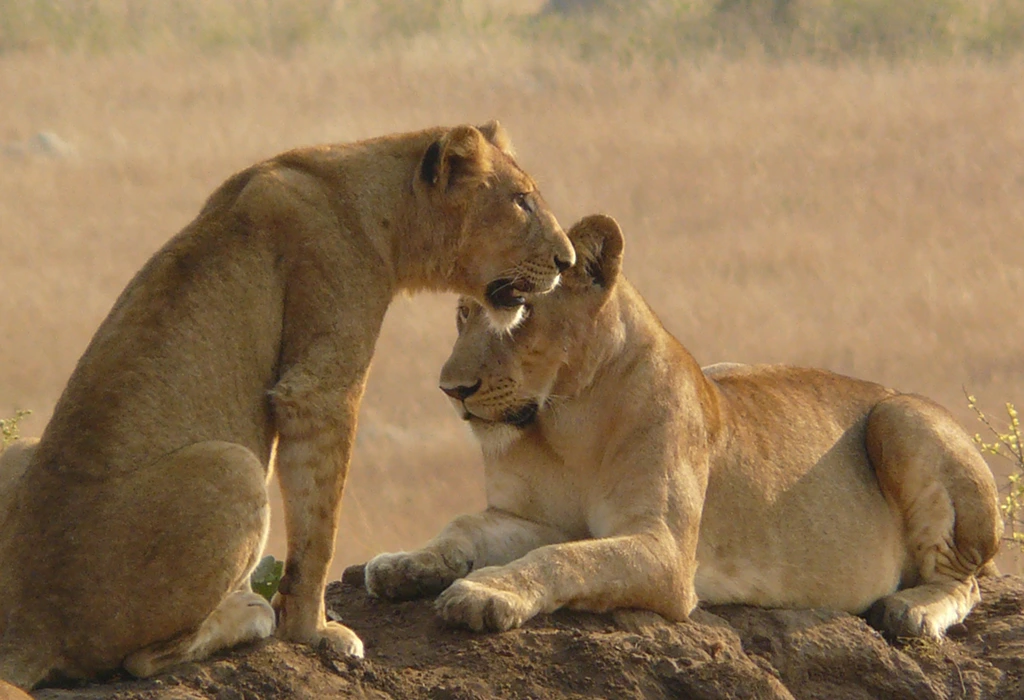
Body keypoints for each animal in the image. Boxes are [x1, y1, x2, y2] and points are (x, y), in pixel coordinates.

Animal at [0, 122, 575, 689]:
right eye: (521, 201)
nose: (567, 261)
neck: (380, 205)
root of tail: (28, 624)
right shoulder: (320, 383)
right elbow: (319, 523)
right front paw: (313, 630)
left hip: (24, 446)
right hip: (232, 465)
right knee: (140, 659)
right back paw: (250, 613)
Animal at [364, 214, 1002, 640]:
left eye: (517, 312)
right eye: (462, 312)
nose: (451, 389)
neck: (562, 425)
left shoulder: (665, 550)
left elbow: (564, 559)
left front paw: (485, 592)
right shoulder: (530, 517)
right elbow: (466, 526)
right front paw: (405, 564)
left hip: (900, 416)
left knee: (965, 578)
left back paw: (913, 610)